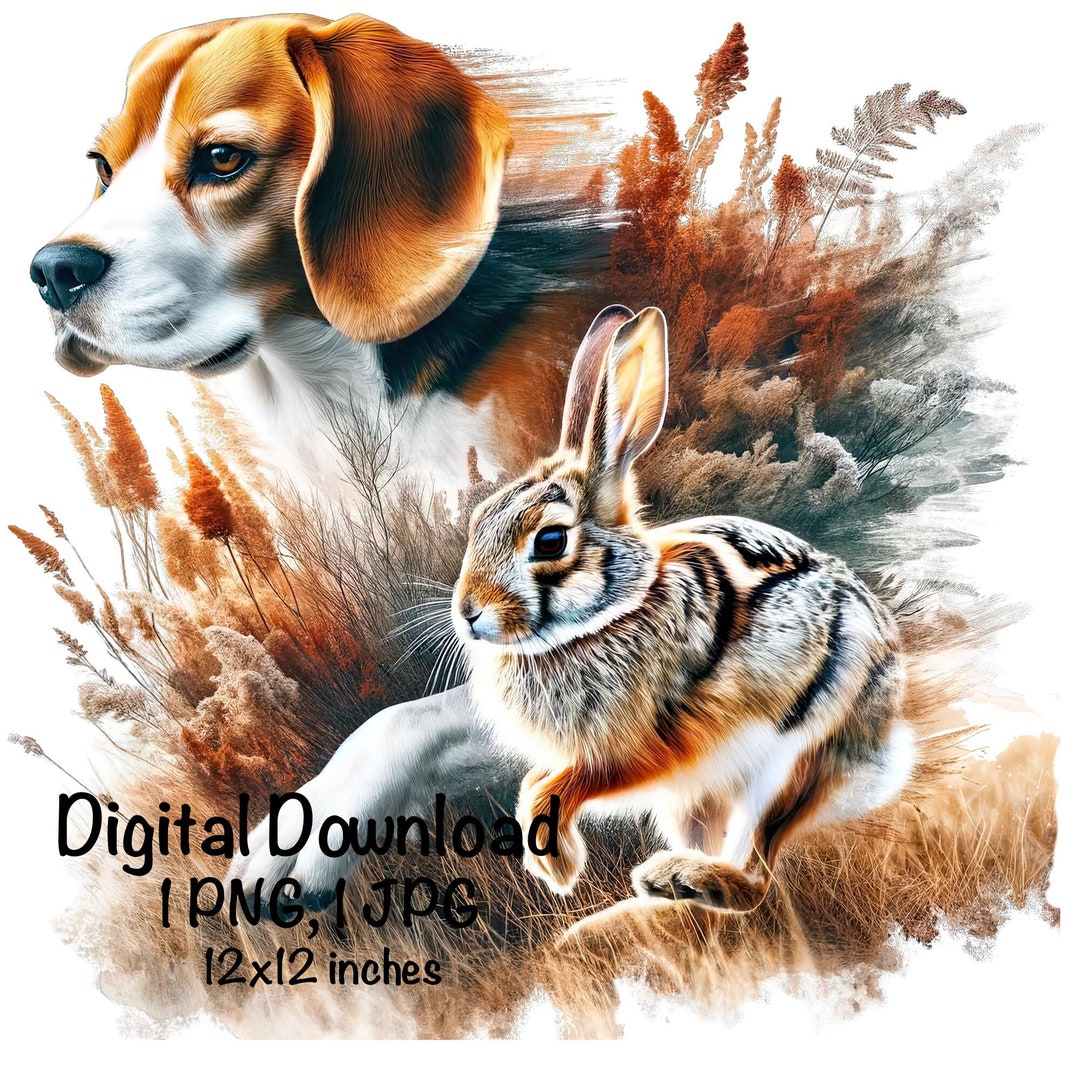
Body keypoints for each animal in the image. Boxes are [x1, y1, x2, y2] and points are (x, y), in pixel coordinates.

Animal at [451, 303, 915, 910]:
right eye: (479, 521)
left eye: (550, 541)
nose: (468, 613)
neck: (613, 611)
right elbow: (537, 782)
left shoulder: (643, 747)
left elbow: (558, 786)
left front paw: (558, 866)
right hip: (698, 799)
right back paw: (665, 881)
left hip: (792, 762)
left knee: (757, 876)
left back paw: (695, 879)